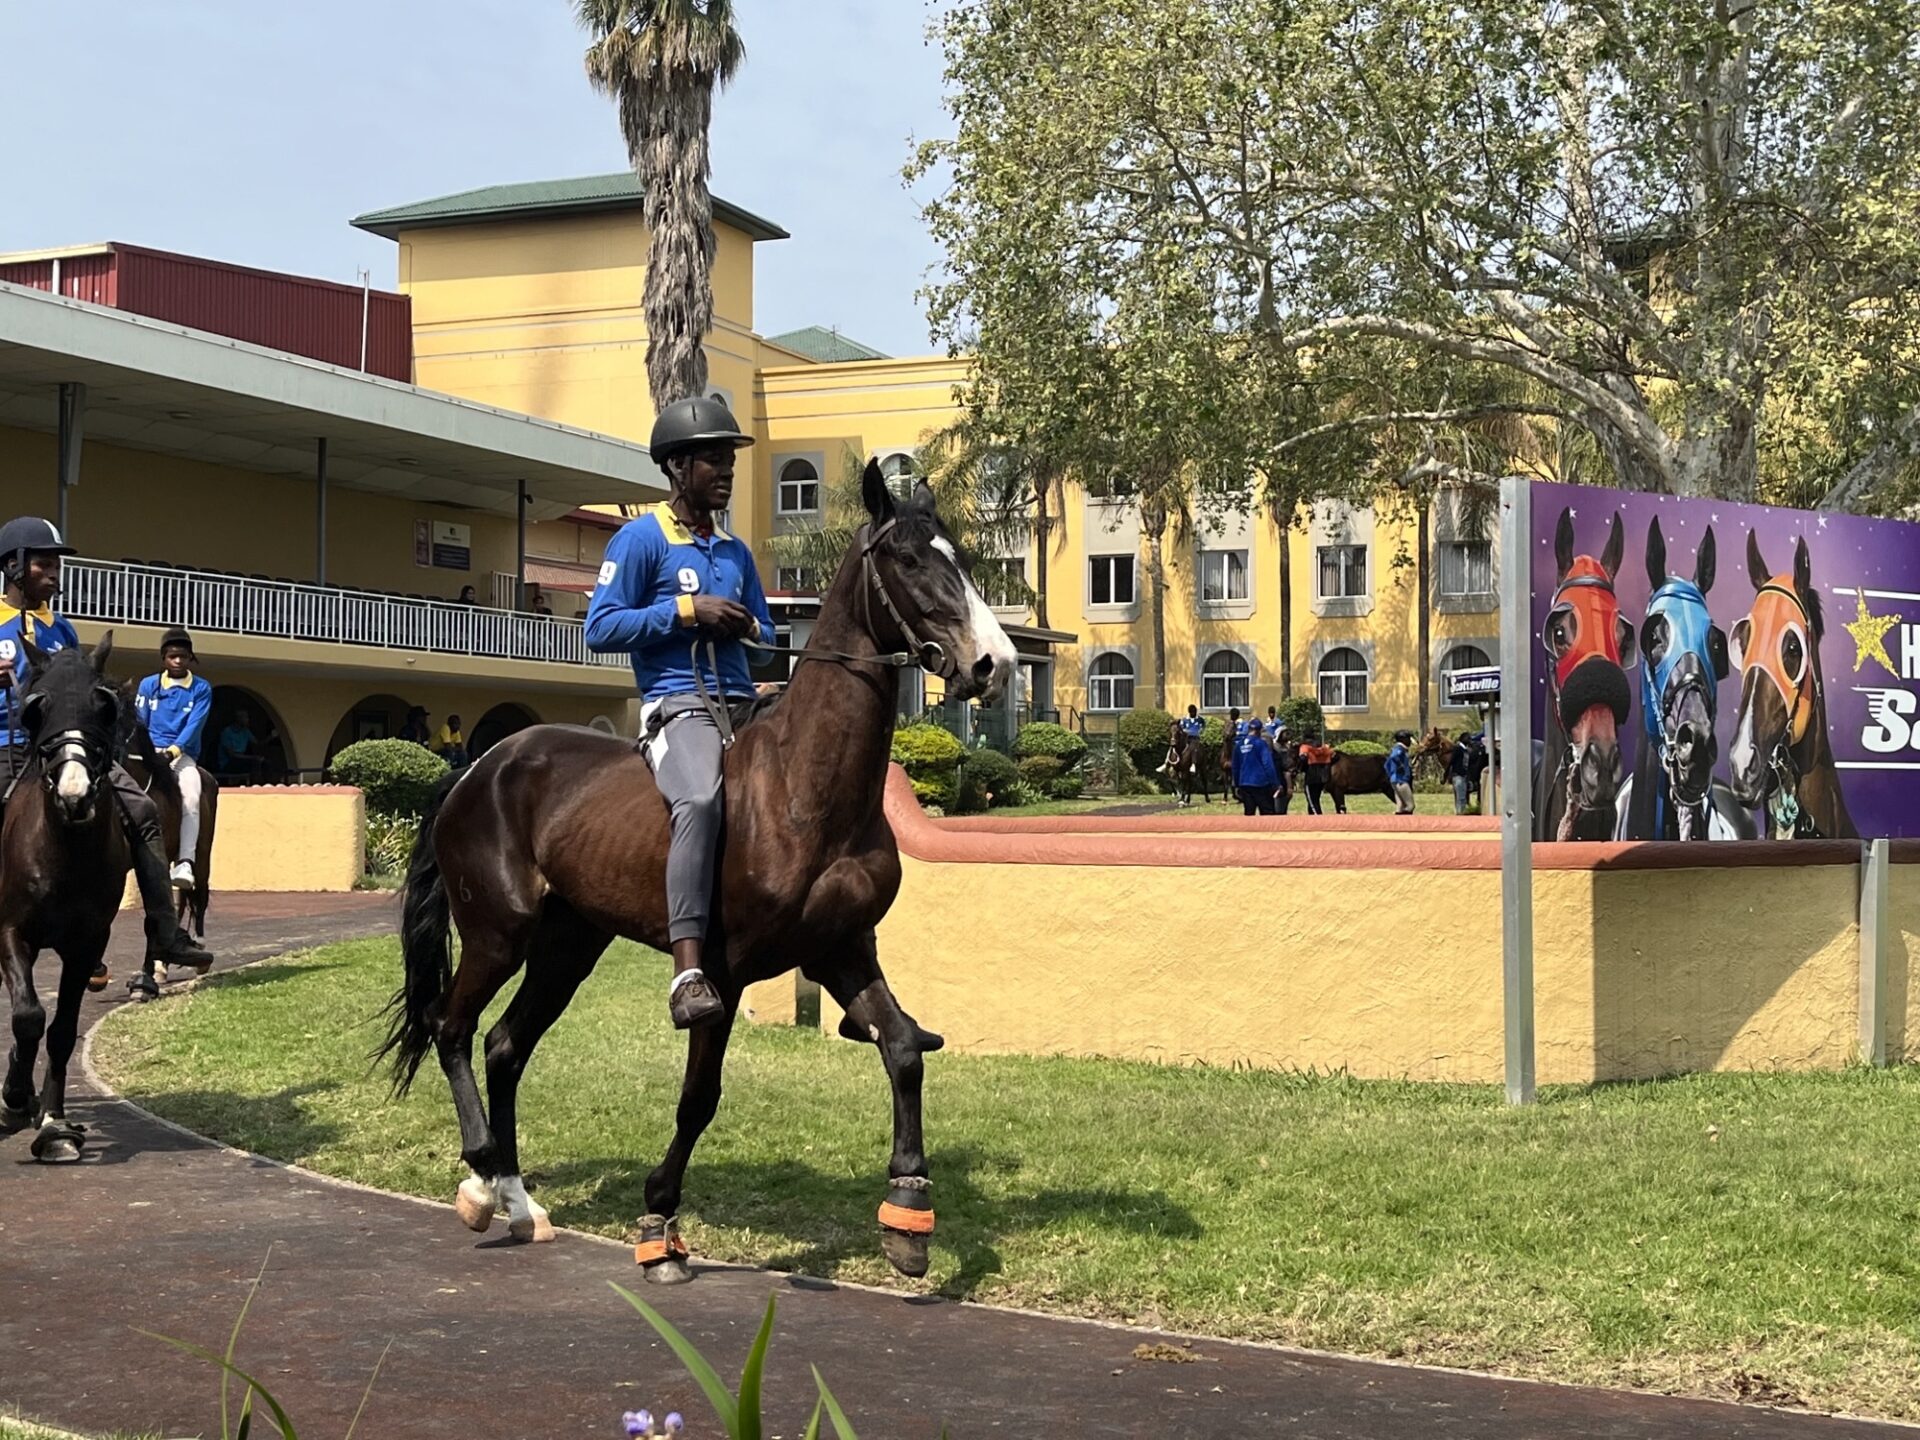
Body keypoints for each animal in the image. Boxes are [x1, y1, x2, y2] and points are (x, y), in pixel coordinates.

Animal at [379, 463, 1017, 1282]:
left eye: (959, 559)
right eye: (907, 560)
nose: (993, 664)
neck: (802, 790)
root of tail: (478, 767)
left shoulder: (841, 951)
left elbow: (903, 1050)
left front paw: (908, 1216)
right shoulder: (725, 968)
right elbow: (698, 1098)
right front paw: (659, 1226)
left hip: (567, 945)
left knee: (504, 1046)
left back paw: (521, 1203)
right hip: (498, 934)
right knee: (452, 1028)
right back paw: (483, 1180)